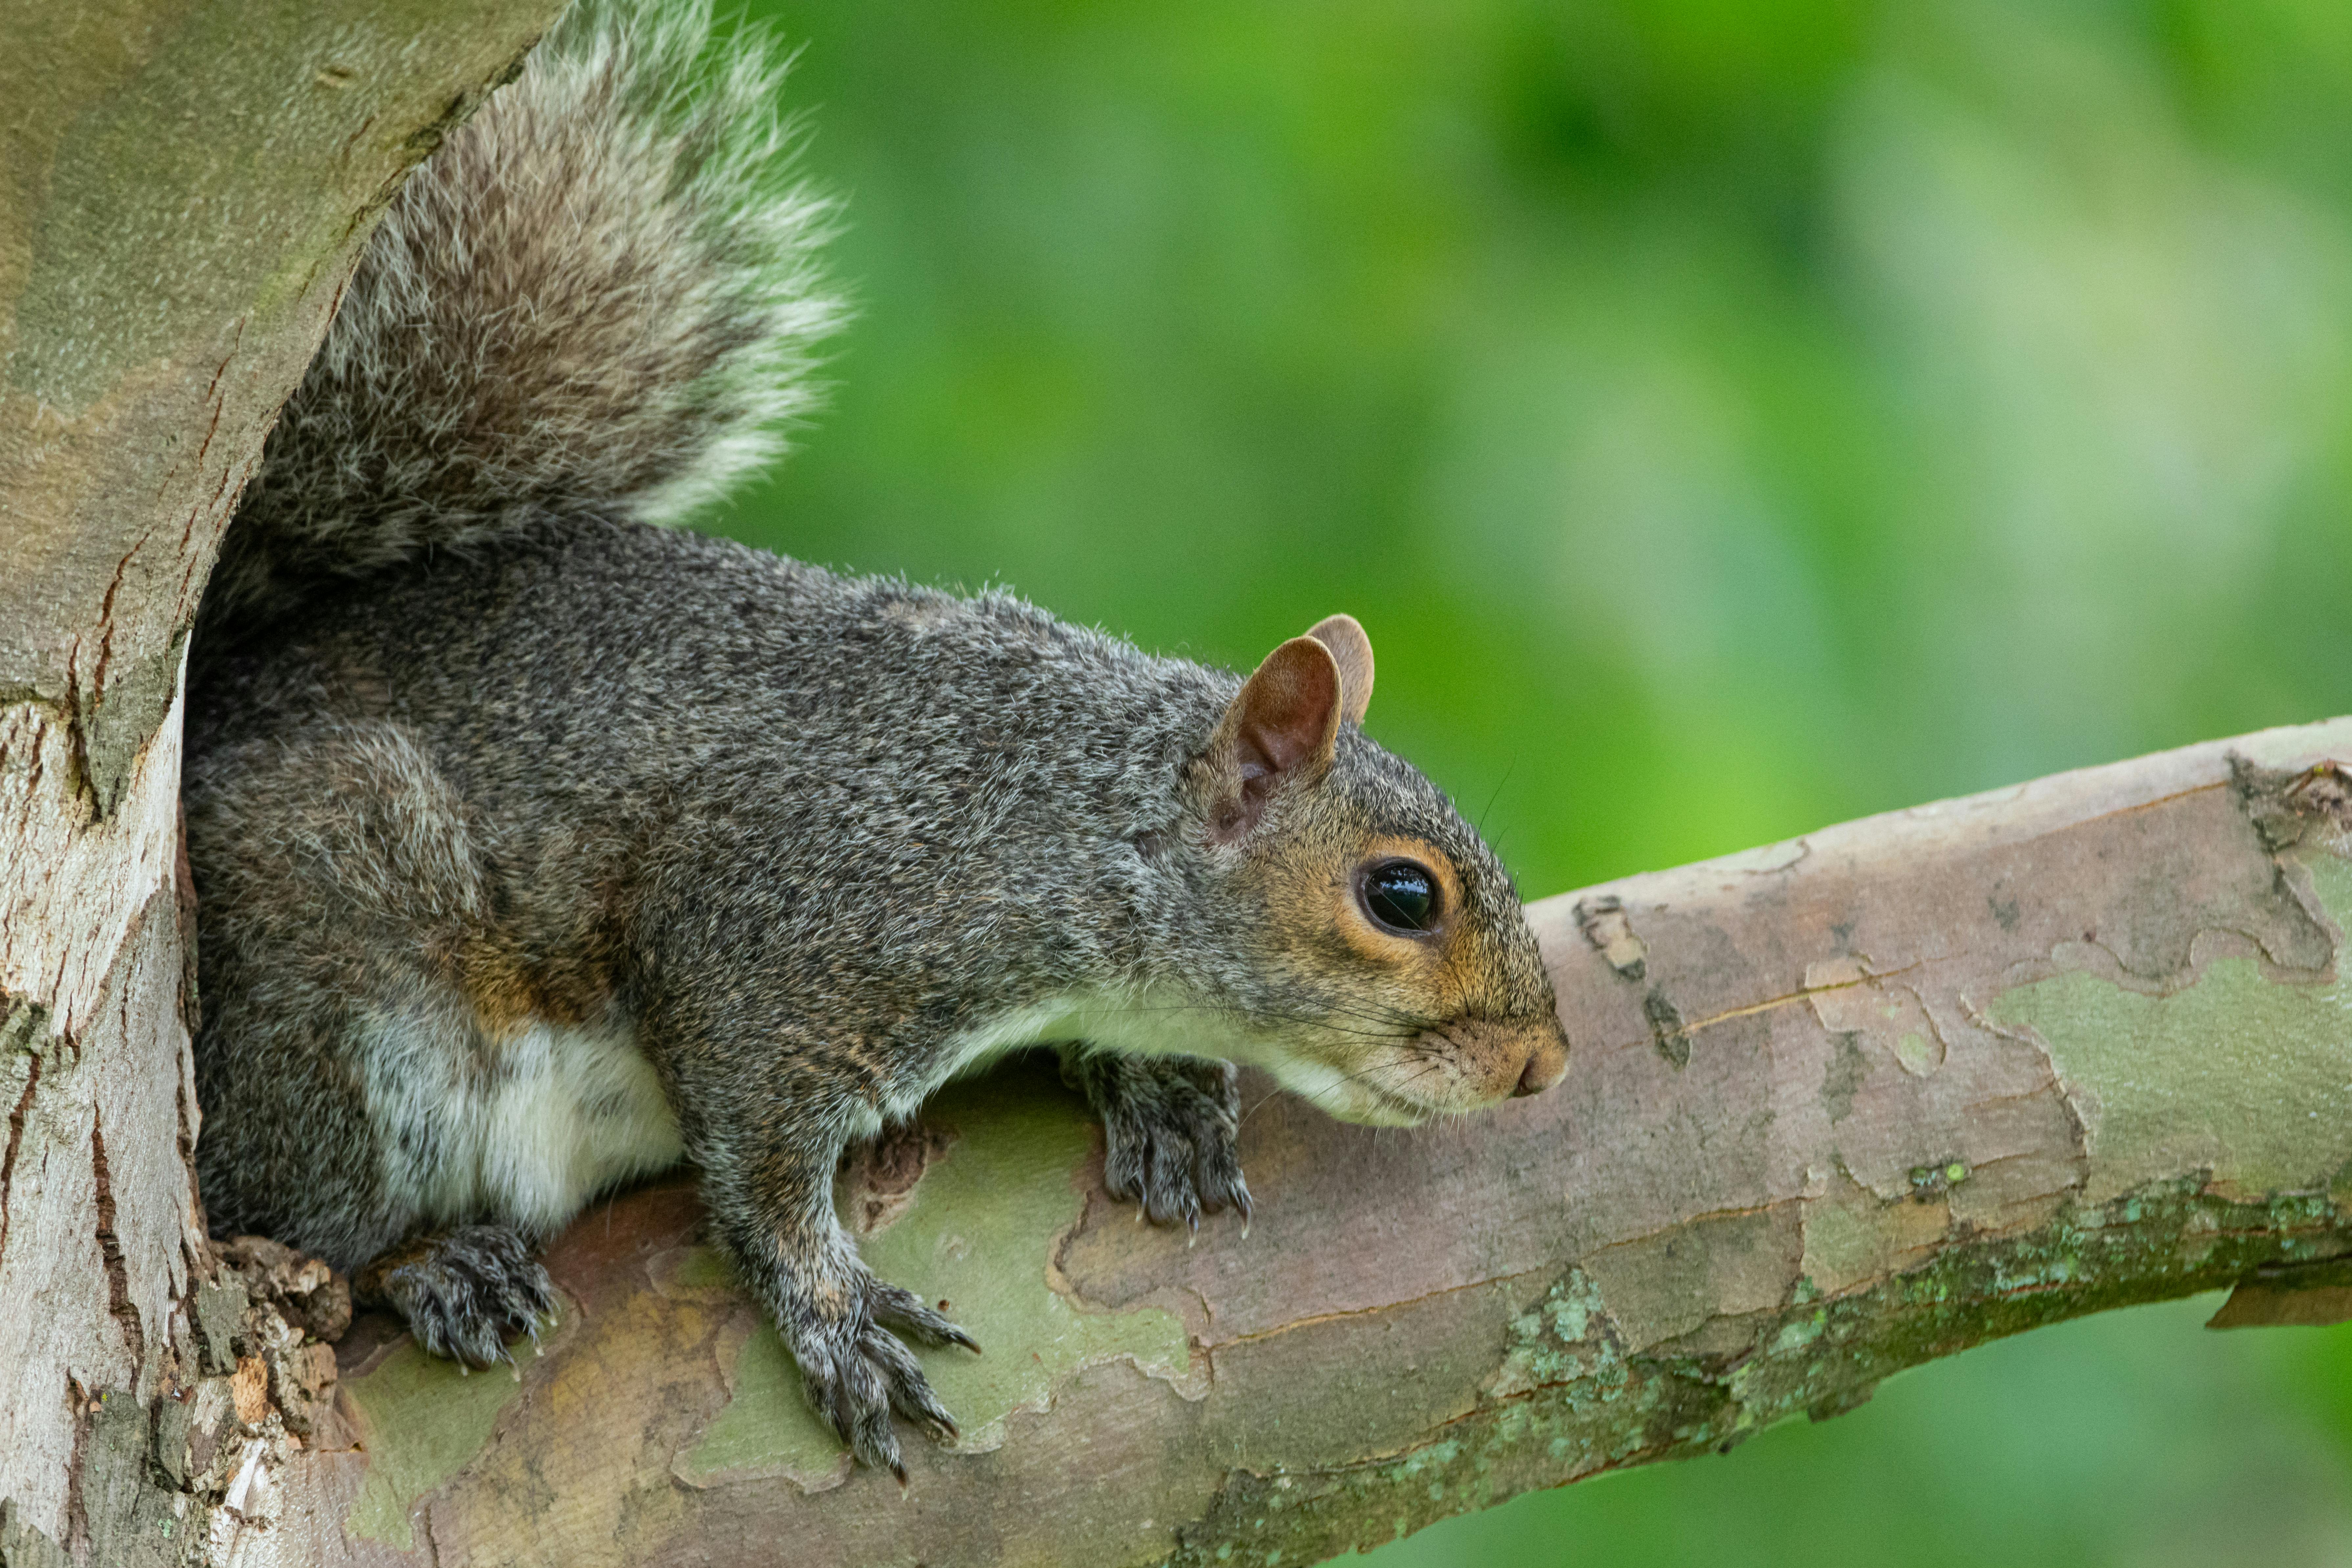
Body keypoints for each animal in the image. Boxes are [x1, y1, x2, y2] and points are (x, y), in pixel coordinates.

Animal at [182, 0, 1571, 1479]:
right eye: (1401, 893)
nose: (1542, 1062)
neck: (1046, 799)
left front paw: (1153, 1086)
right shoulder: (778, 939)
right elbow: (756, 1154)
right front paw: (833, 1310)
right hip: (334, 979)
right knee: (283, 1210)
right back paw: (431, 1260)